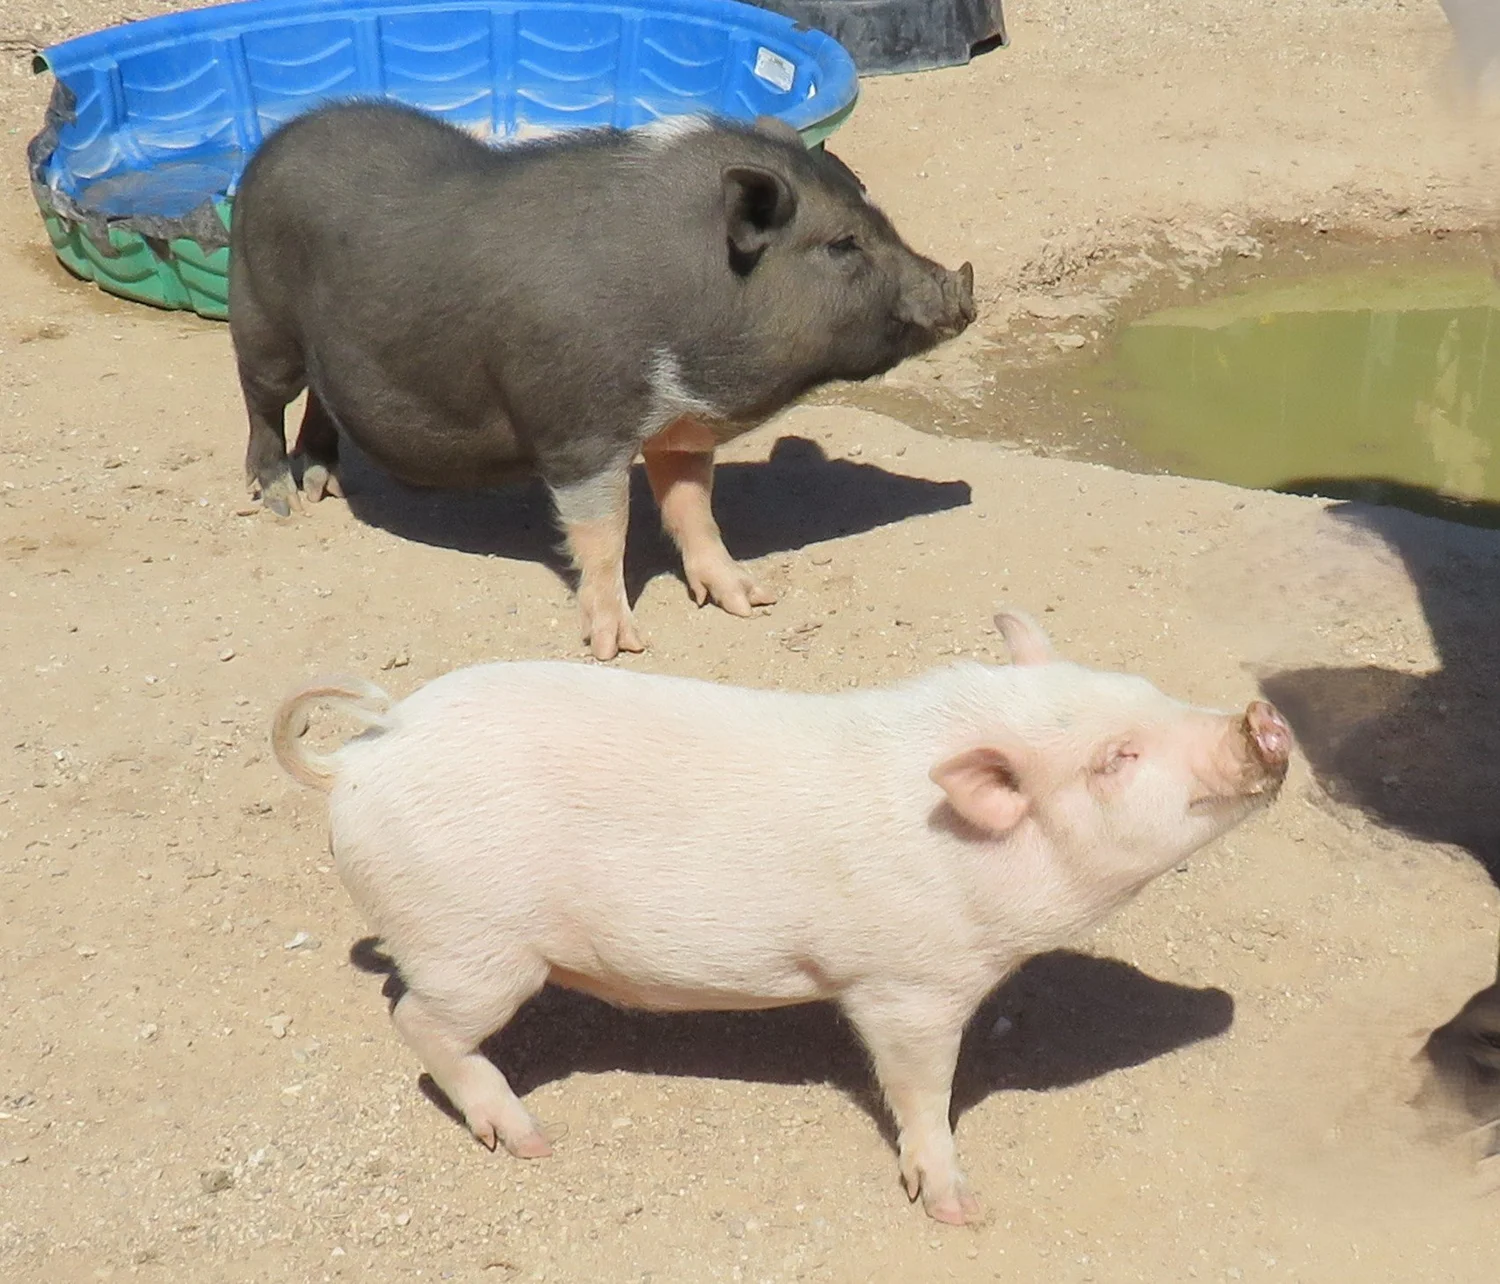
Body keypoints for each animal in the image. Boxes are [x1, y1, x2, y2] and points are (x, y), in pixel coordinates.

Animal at [228, 100, 976, 660]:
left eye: (877, 216)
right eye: (842, 245)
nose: (960, 289)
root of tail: (279, 140)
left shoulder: (680, 426)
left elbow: (694, 510)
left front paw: (750, 599)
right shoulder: (578, 434)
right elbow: (604, 530)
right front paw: (621, 646)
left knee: (323, 404)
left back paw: (325, 485)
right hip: (261, 322)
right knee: (261, 406)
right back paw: (281, 500)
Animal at [270, 610, 1291, 1224]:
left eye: (1151, 692)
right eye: (1116, 758)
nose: (1262, 719)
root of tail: (362, 755)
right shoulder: (905, 987)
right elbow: (921, 1088)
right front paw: (959, 1208)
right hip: (474, 946)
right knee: (416, 1021)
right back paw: (528, 1139)